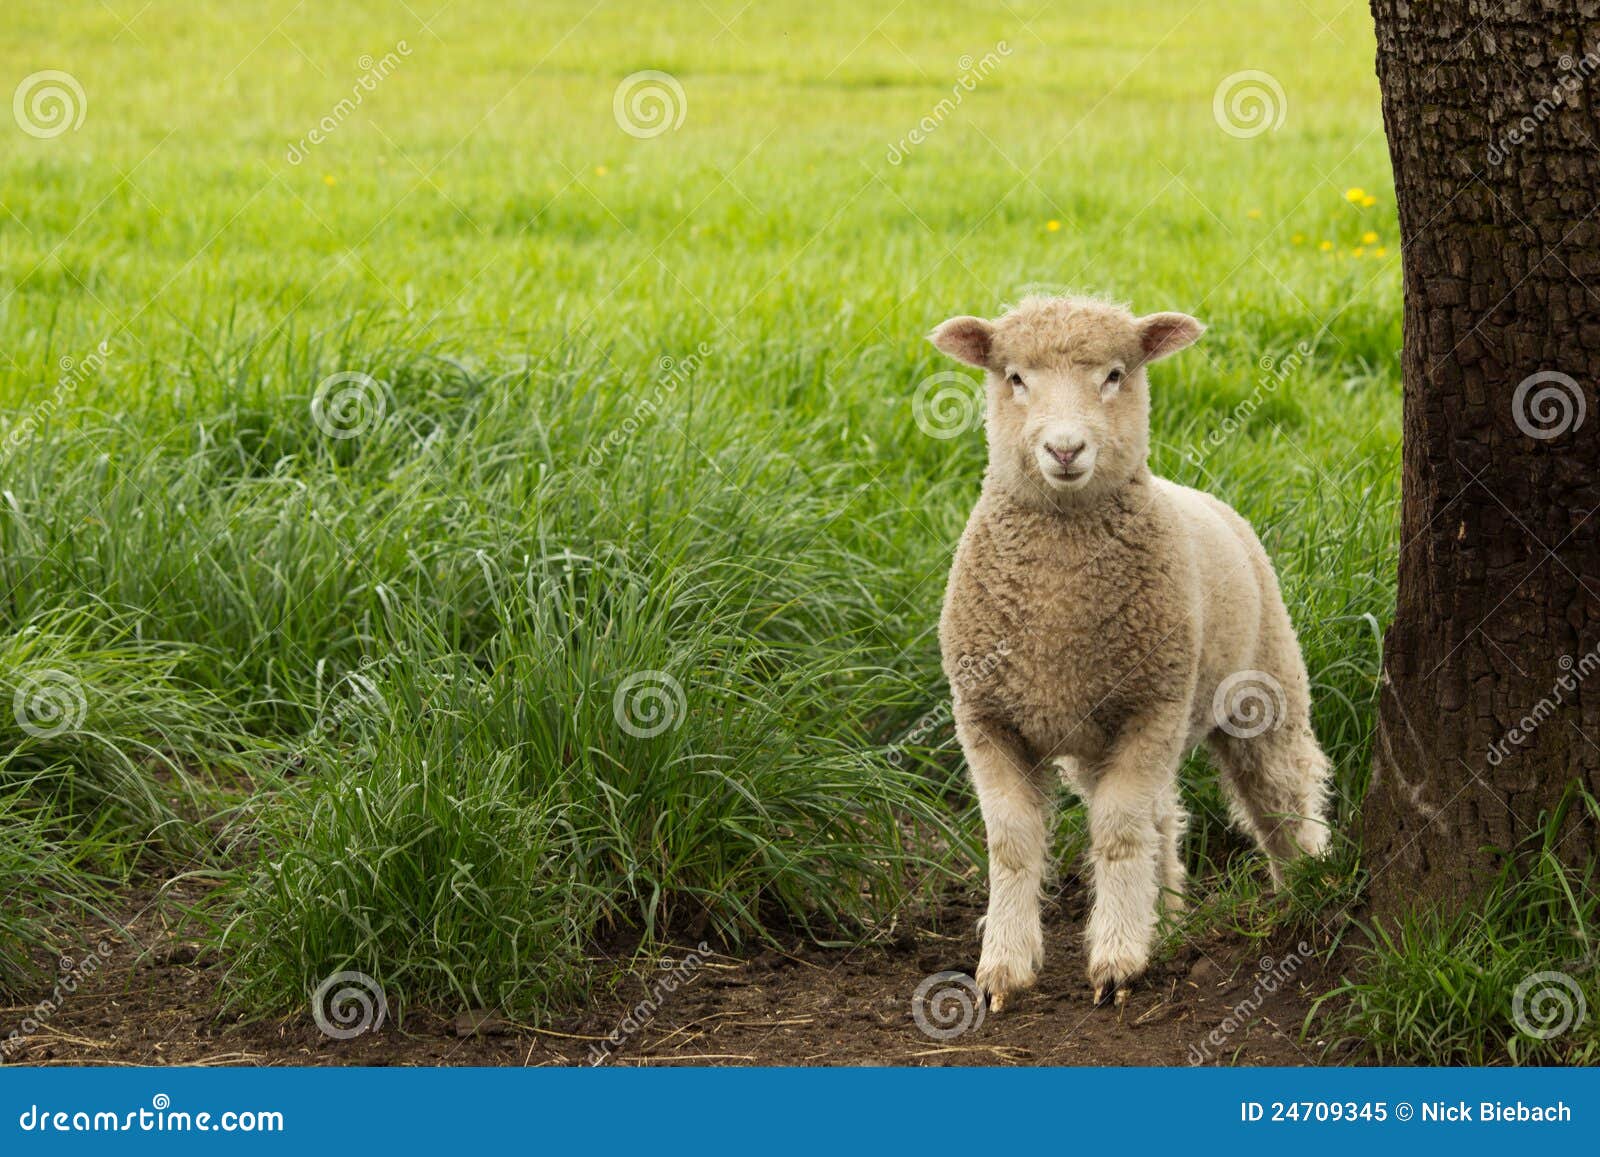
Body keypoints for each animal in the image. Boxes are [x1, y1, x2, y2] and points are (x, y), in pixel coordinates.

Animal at [931, 295, 1330, 1011]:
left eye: (1116, 375)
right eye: (1014, 378)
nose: (1065, 448)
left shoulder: (1151, 708)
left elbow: (1117, 833)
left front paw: (1116, 958)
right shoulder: (987, 718)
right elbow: (1012, 843)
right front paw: (1003, 964)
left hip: (1262, 690)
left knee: (1281, 791)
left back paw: (1304, 888)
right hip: (1110, 735)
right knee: (1164, 818)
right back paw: (1165, 917)